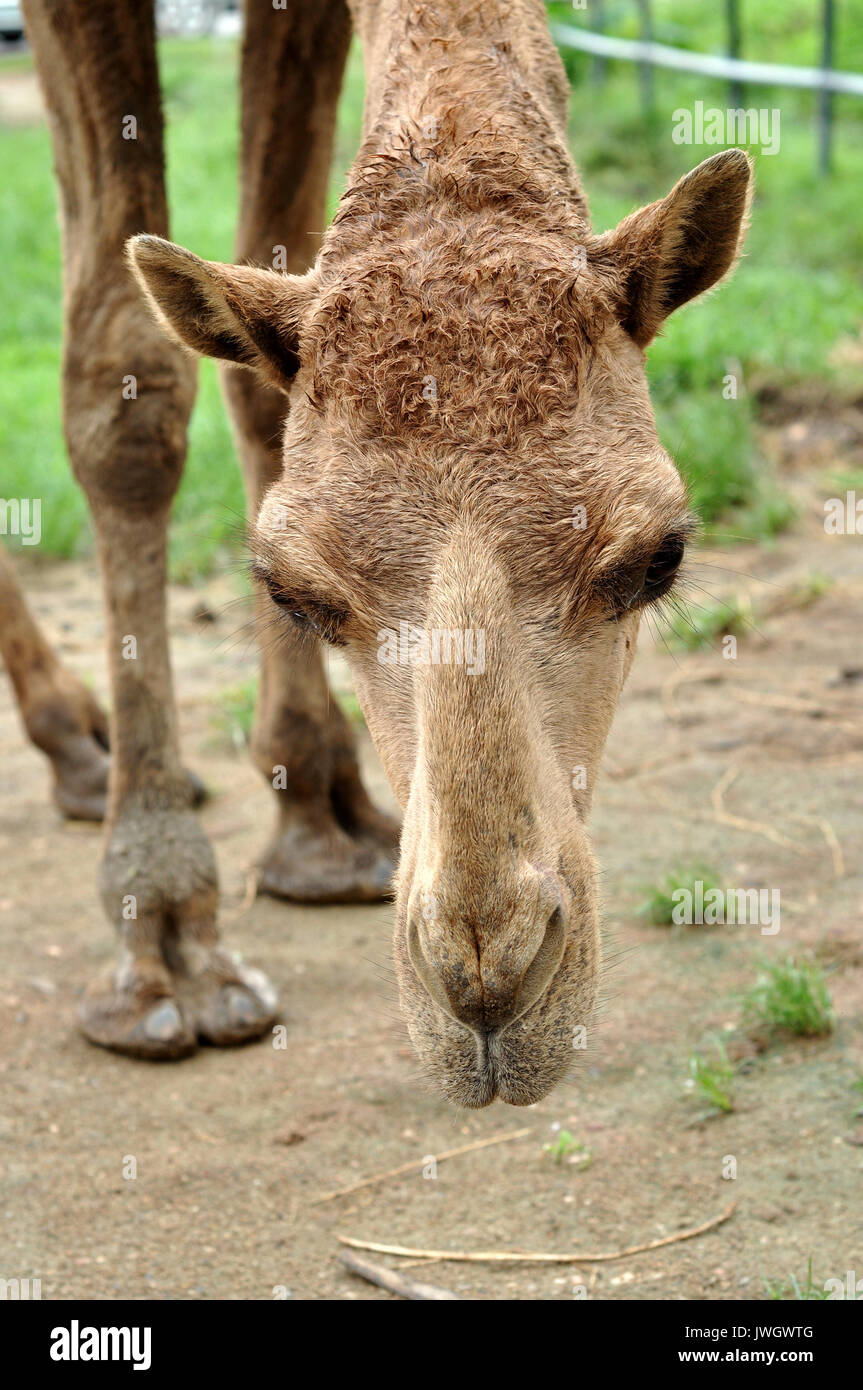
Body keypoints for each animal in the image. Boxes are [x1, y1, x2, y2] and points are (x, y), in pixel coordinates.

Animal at [13, 0, 751, 1106]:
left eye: (656, 559)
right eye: (291, 590)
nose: (487, 985)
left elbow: (259, 363)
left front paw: (315, 817)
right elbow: (126, 390)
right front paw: (165, 938)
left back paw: (82, 743)